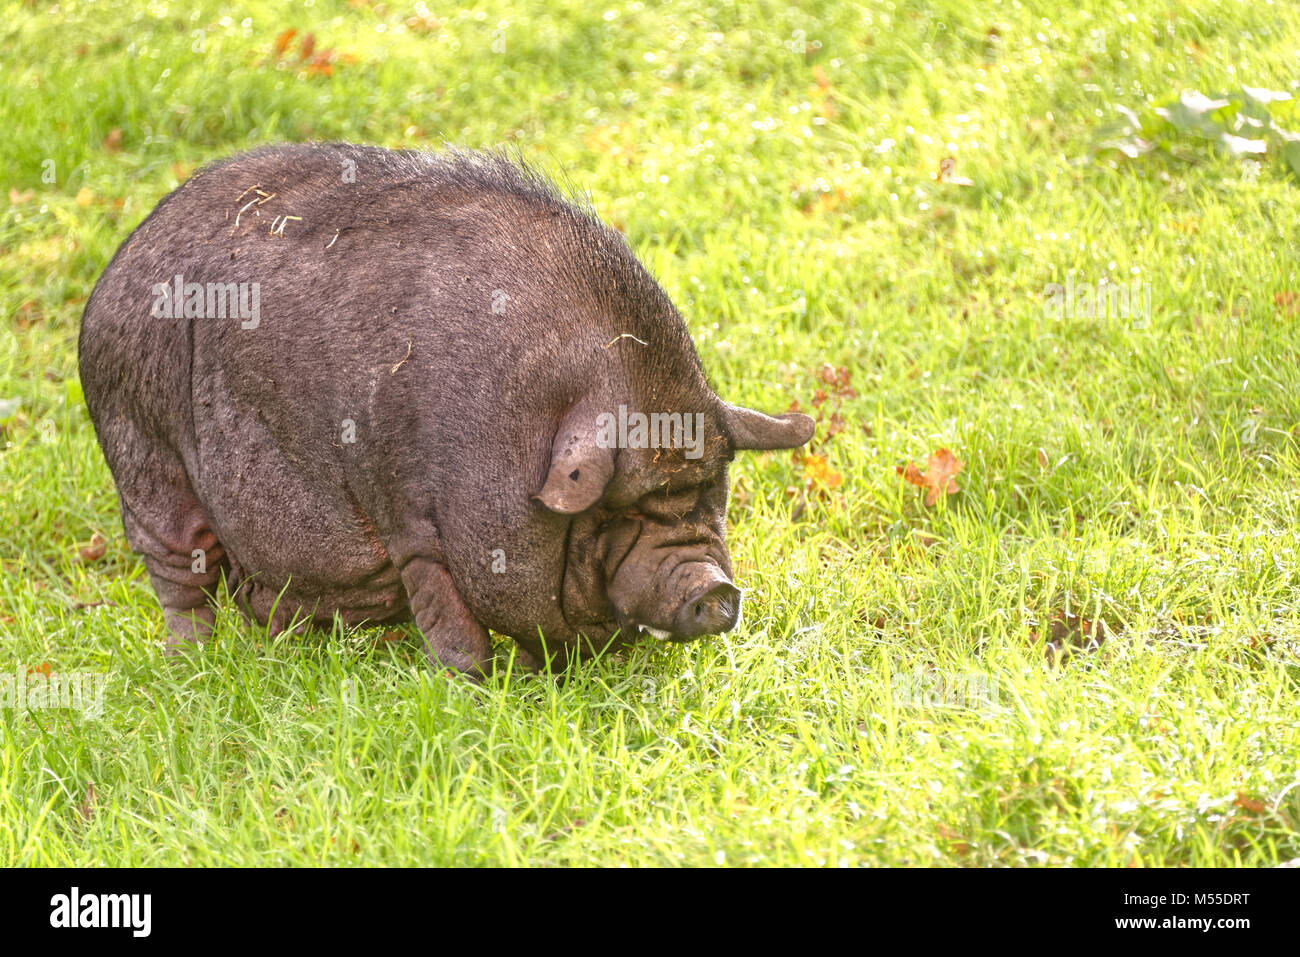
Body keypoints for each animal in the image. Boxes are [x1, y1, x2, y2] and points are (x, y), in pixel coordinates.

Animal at [78, 143, 814, 675]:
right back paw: (190, 667)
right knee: (180, 579)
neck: (521, 424)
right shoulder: (409, 518)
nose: (715, 590)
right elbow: (446, 612)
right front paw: (471, 684)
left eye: (711, 491)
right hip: (142, 455)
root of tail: (115, 266)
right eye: (617, 510)